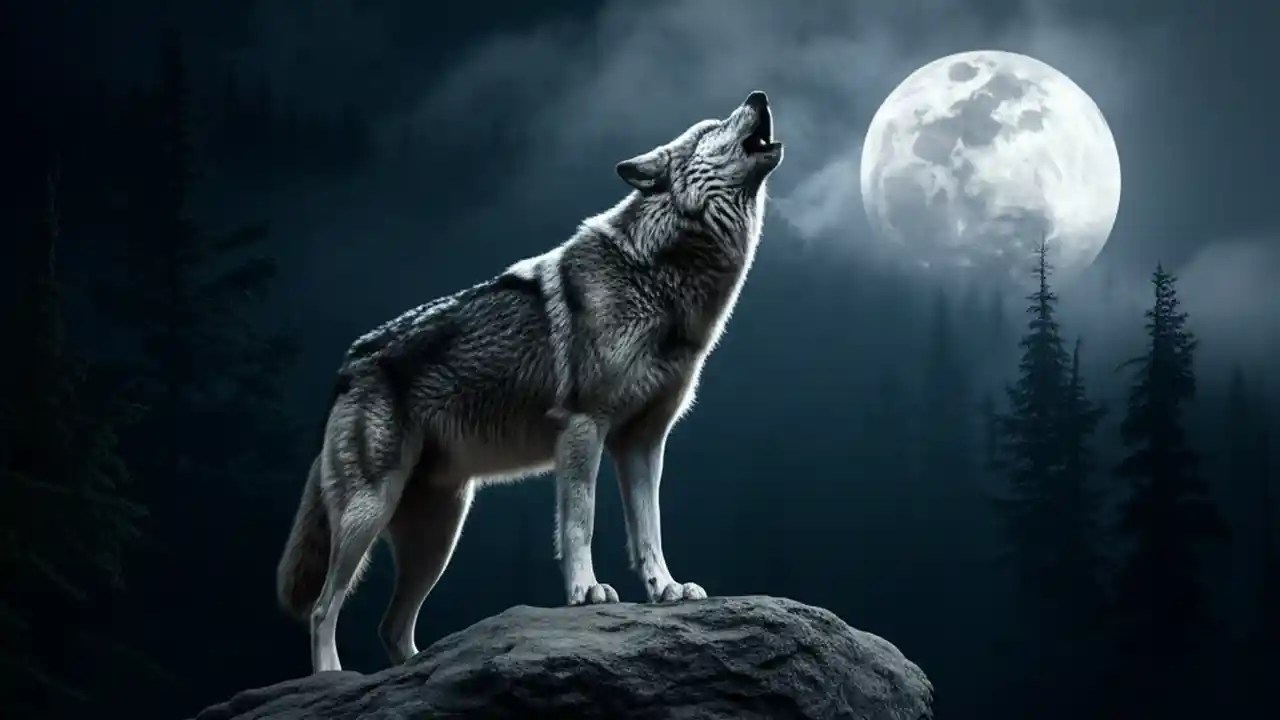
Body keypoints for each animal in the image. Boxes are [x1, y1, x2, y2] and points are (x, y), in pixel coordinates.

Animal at [276, 91, 784, 673]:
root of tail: (348, 365)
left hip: (439, 536)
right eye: (710, 128)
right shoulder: (584, 427)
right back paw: (331, 678)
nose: (759, 96)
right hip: (369, 513)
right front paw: (586, 591)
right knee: (322, 609)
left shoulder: (644, 442)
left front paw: (665, 589)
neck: (659, 271)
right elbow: (581, 521)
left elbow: (648, 529)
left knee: (391, 626)